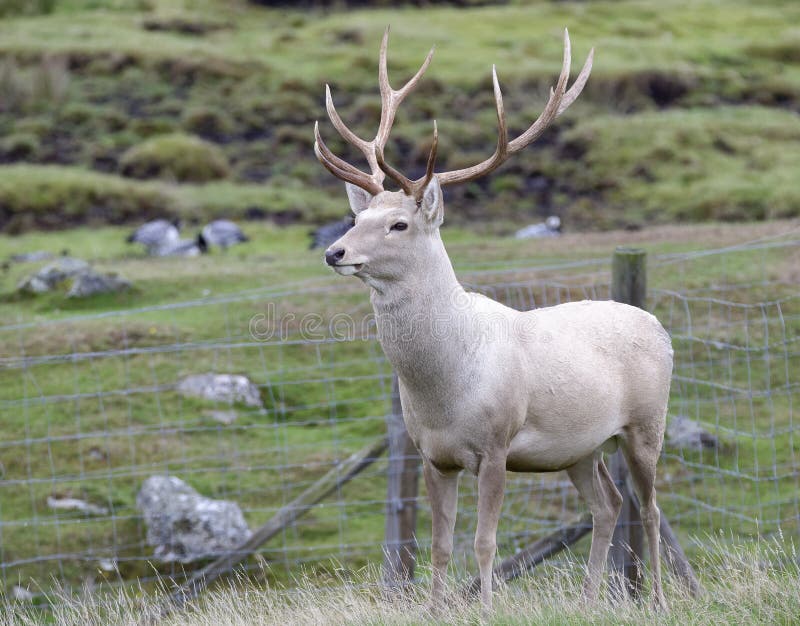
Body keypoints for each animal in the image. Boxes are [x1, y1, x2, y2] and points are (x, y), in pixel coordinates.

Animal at [314, 28, 672, 612]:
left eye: (398, 224)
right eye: (356, 216)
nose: (335, 251)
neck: (446, 389)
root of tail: (659, 327)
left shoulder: (496, 444)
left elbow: (485, 542)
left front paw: (483, 607)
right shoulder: (432, 455)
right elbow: (438, 544)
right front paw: (434, 610)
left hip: (647, 424)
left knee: (650, 507)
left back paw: (660, 599)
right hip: (580, 448)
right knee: (609, 503)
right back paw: (587, 600)